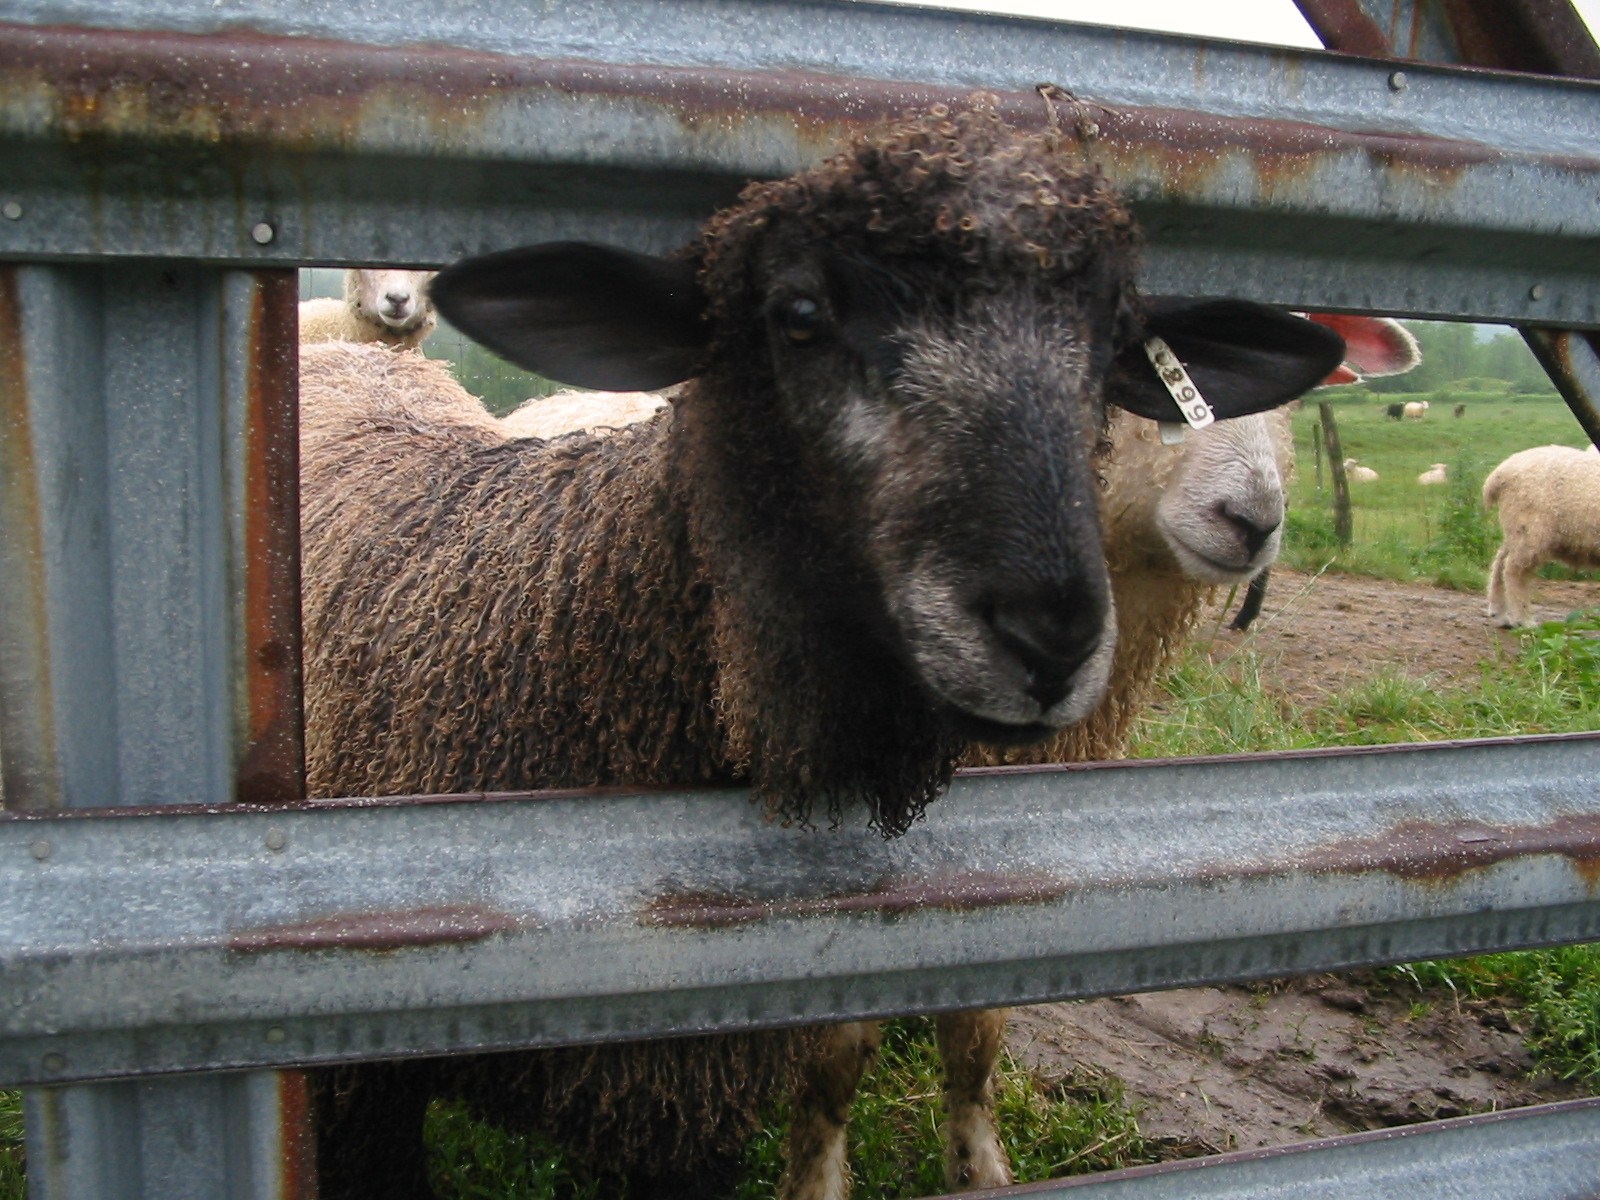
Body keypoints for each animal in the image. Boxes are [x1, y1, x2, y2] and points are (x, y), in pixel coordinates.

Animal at [1484, 444, 1600, 627]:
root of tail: (1501, 473)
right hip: (1532, 529)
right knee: (1513, 571)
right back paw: (1523, 620)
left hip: (1517, 528)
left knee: (1500, 562)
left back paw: (1499, 612)